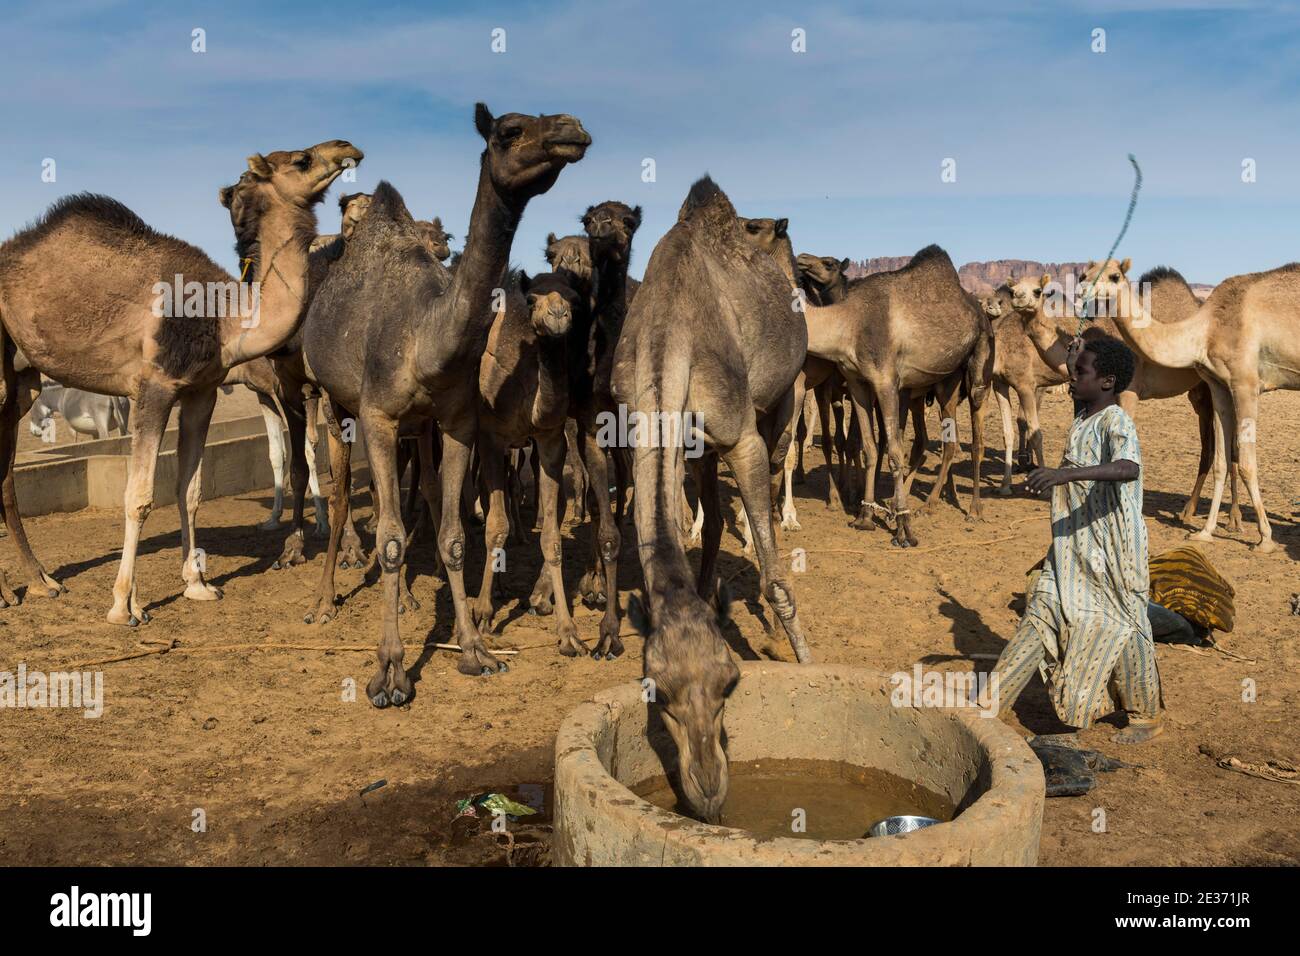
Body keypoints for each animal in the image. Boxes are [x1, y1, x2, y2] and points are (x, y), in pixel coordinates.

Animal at [0, 139, 362, 621]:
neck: (225, 318)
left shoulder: (201, 391)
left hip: (22, 381)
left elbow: (189, 489)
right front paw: (124, 605)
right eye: (301, 159)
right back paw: (13, 591)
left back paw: (41, 582)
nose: (346, 148)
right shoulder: (154, 388)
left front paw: (197, 584)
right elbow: (138, 496)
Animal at [300, 104, 590, 707]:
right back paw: (323, 601)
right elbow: (389, 537)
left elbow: (456, 536)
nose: (570, 128)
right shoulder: (379, 417)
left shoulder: (457, 422)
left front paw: (475, 649)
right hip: (332, 402)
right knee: (338, 494)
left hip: (420, 428)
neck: (425, 337)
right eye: (509, 130)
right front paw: (389, 673)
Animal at [612, 175, 812, 822]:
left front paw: (807, 660)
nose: (707, 790)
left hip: (790, 389)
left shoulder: (739, 434)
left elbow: (775, 581)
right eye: (655, 690)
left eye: (732, 684)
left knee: (778, 462)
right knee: (714, 515)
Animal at [803, 245, 992, 546]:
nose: (802, 259)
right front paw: (865, 516)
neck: (849, 323)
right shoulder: (857, 382)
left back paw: (972, 509)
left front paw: (904, 528)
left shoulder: (886, 380)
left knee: (976, 437)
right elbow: (869, 448)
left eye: (829, 263)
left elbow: (893, 451)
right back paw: (935, 501)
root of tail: (981, 311)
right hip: (946, 383)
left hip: (980, 365)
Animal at [1076, 258, 1282, 550]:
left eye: (1114, 276)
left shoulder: (1129, 392)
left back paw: (1231, 519)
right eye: (1082, 274)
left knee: (1224, 450)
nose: (1082, 292)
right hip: (1201, 393)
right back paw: (1192, 511)